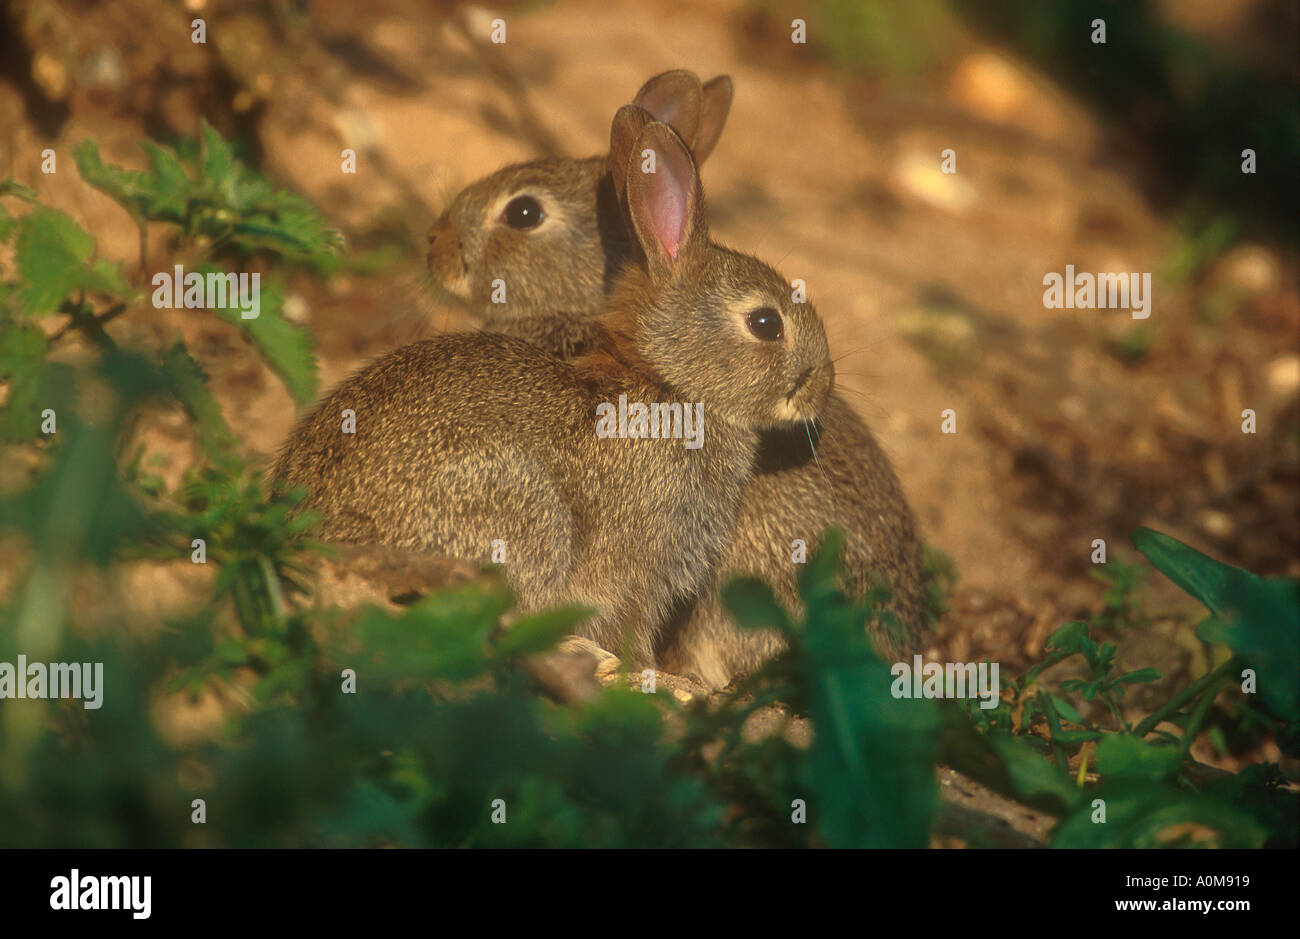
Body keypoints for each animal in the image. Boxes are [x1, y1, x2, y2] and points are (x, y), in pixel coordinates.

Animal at [276, 105, 835, 668]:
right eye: (766, 323)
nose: (822, 387)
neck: (673, 385)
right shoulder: (640, 567)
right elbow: (632, 625)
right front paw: (645, 670)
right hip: (520, 510)